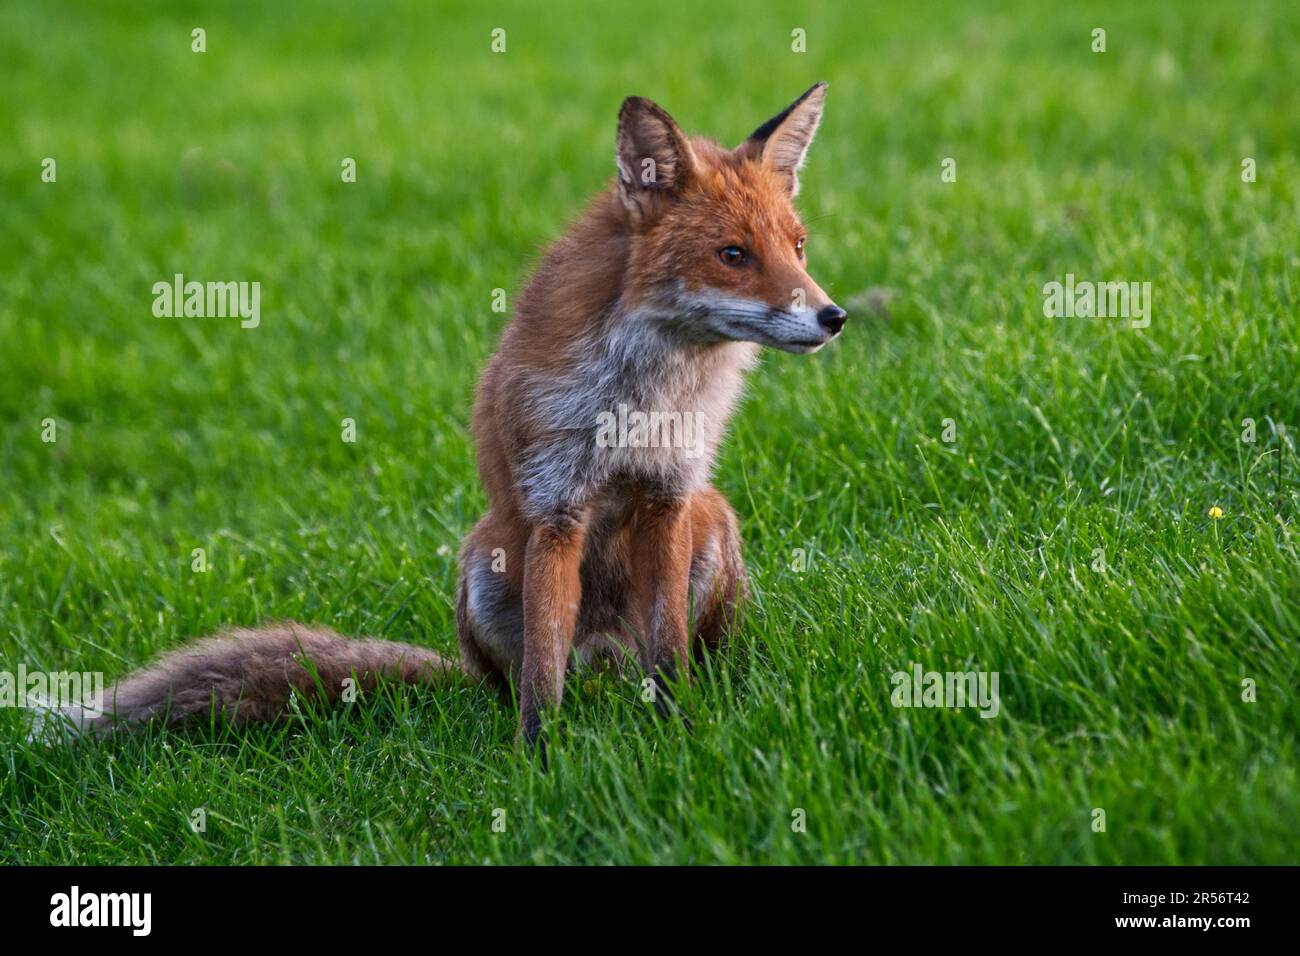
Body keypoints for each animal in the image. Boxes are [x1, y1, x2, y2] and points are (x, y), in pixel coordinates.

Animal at [30, 83, 846, 756]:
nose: (833, 317)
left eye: (798, 247)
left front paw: (677, 735)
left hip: (714, 522)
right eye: (732, 255)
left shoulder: (670, 494)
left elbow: (670, 650)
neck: (649, 390)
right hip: (485, 561)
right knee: (524, 679)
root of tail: (607, 668)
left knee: (668, 653)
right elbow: (542, 674)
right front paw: (539, 764)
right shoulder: (555, 508)